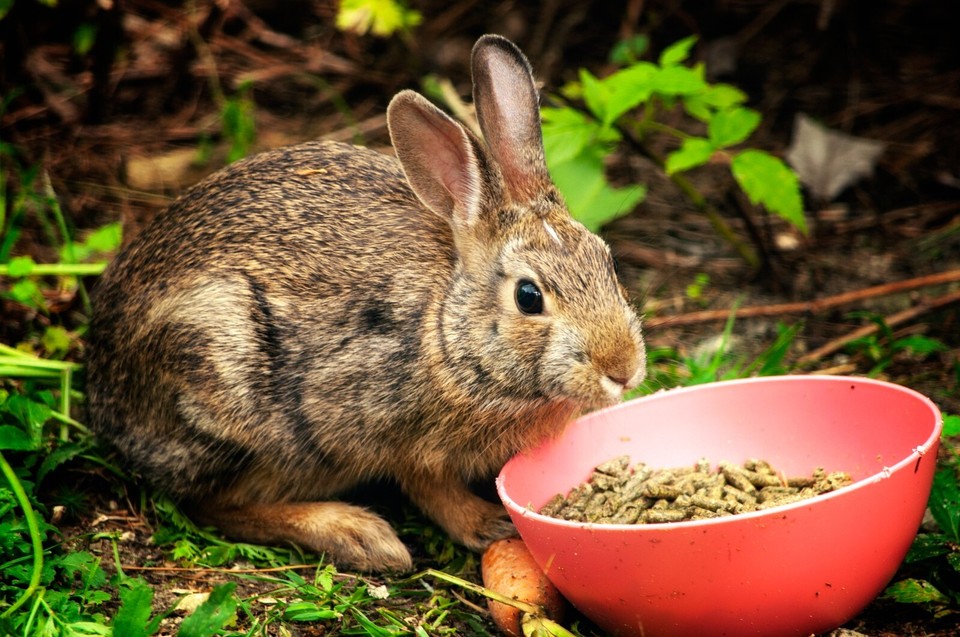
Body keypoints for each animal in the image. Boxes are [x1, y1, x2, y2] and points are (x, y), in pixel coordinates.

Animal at [85, 34, 646, 572]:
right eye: (529, 297)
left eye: (608, 261)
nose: (623, 370)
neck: (448, 331)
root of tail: (104, 396)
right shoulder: (381, 427)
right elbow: (428, 488)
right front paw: (488, 523)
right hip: (225, 385)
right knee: (211, 505)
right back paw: (358, 536)